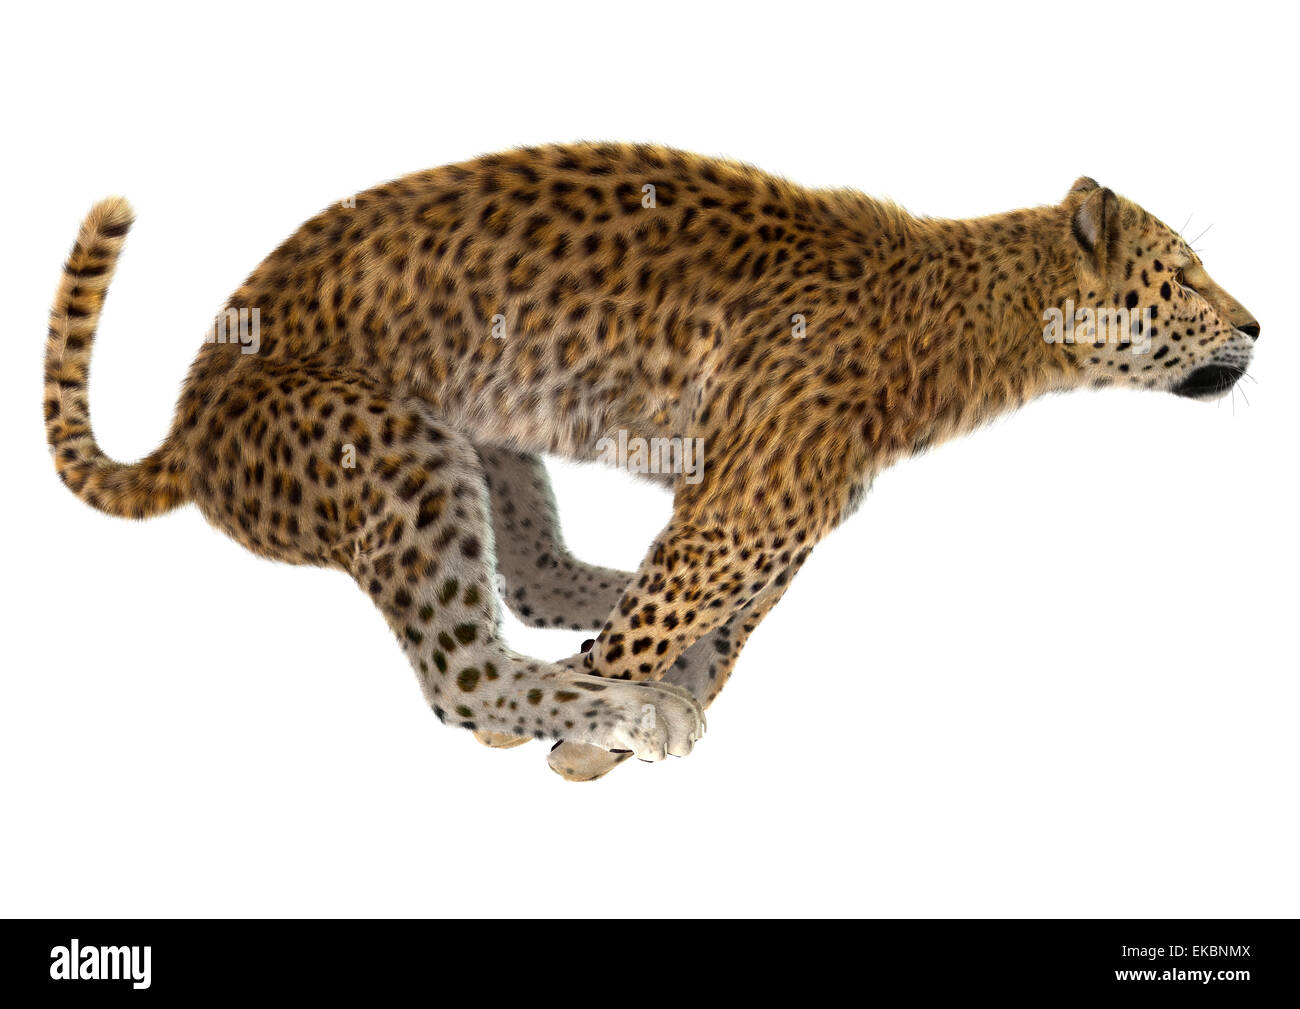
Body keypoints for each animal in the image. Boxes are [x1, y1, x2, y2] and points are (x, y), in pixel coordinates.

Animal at [44, 144, 1259, 781]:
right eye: (1189, 277)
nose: (1256, 326)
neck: (976, 333)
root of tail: (192, 402)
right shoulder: (745, 508)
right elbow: (666, 623)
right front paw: (600, 732)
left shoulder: (770, 515)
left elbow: (723, 628)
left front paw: (656, 697)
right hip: (392, 448)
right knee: (461, 669)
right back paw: (572, 704)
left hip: (480, 432)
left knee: (531, 574)